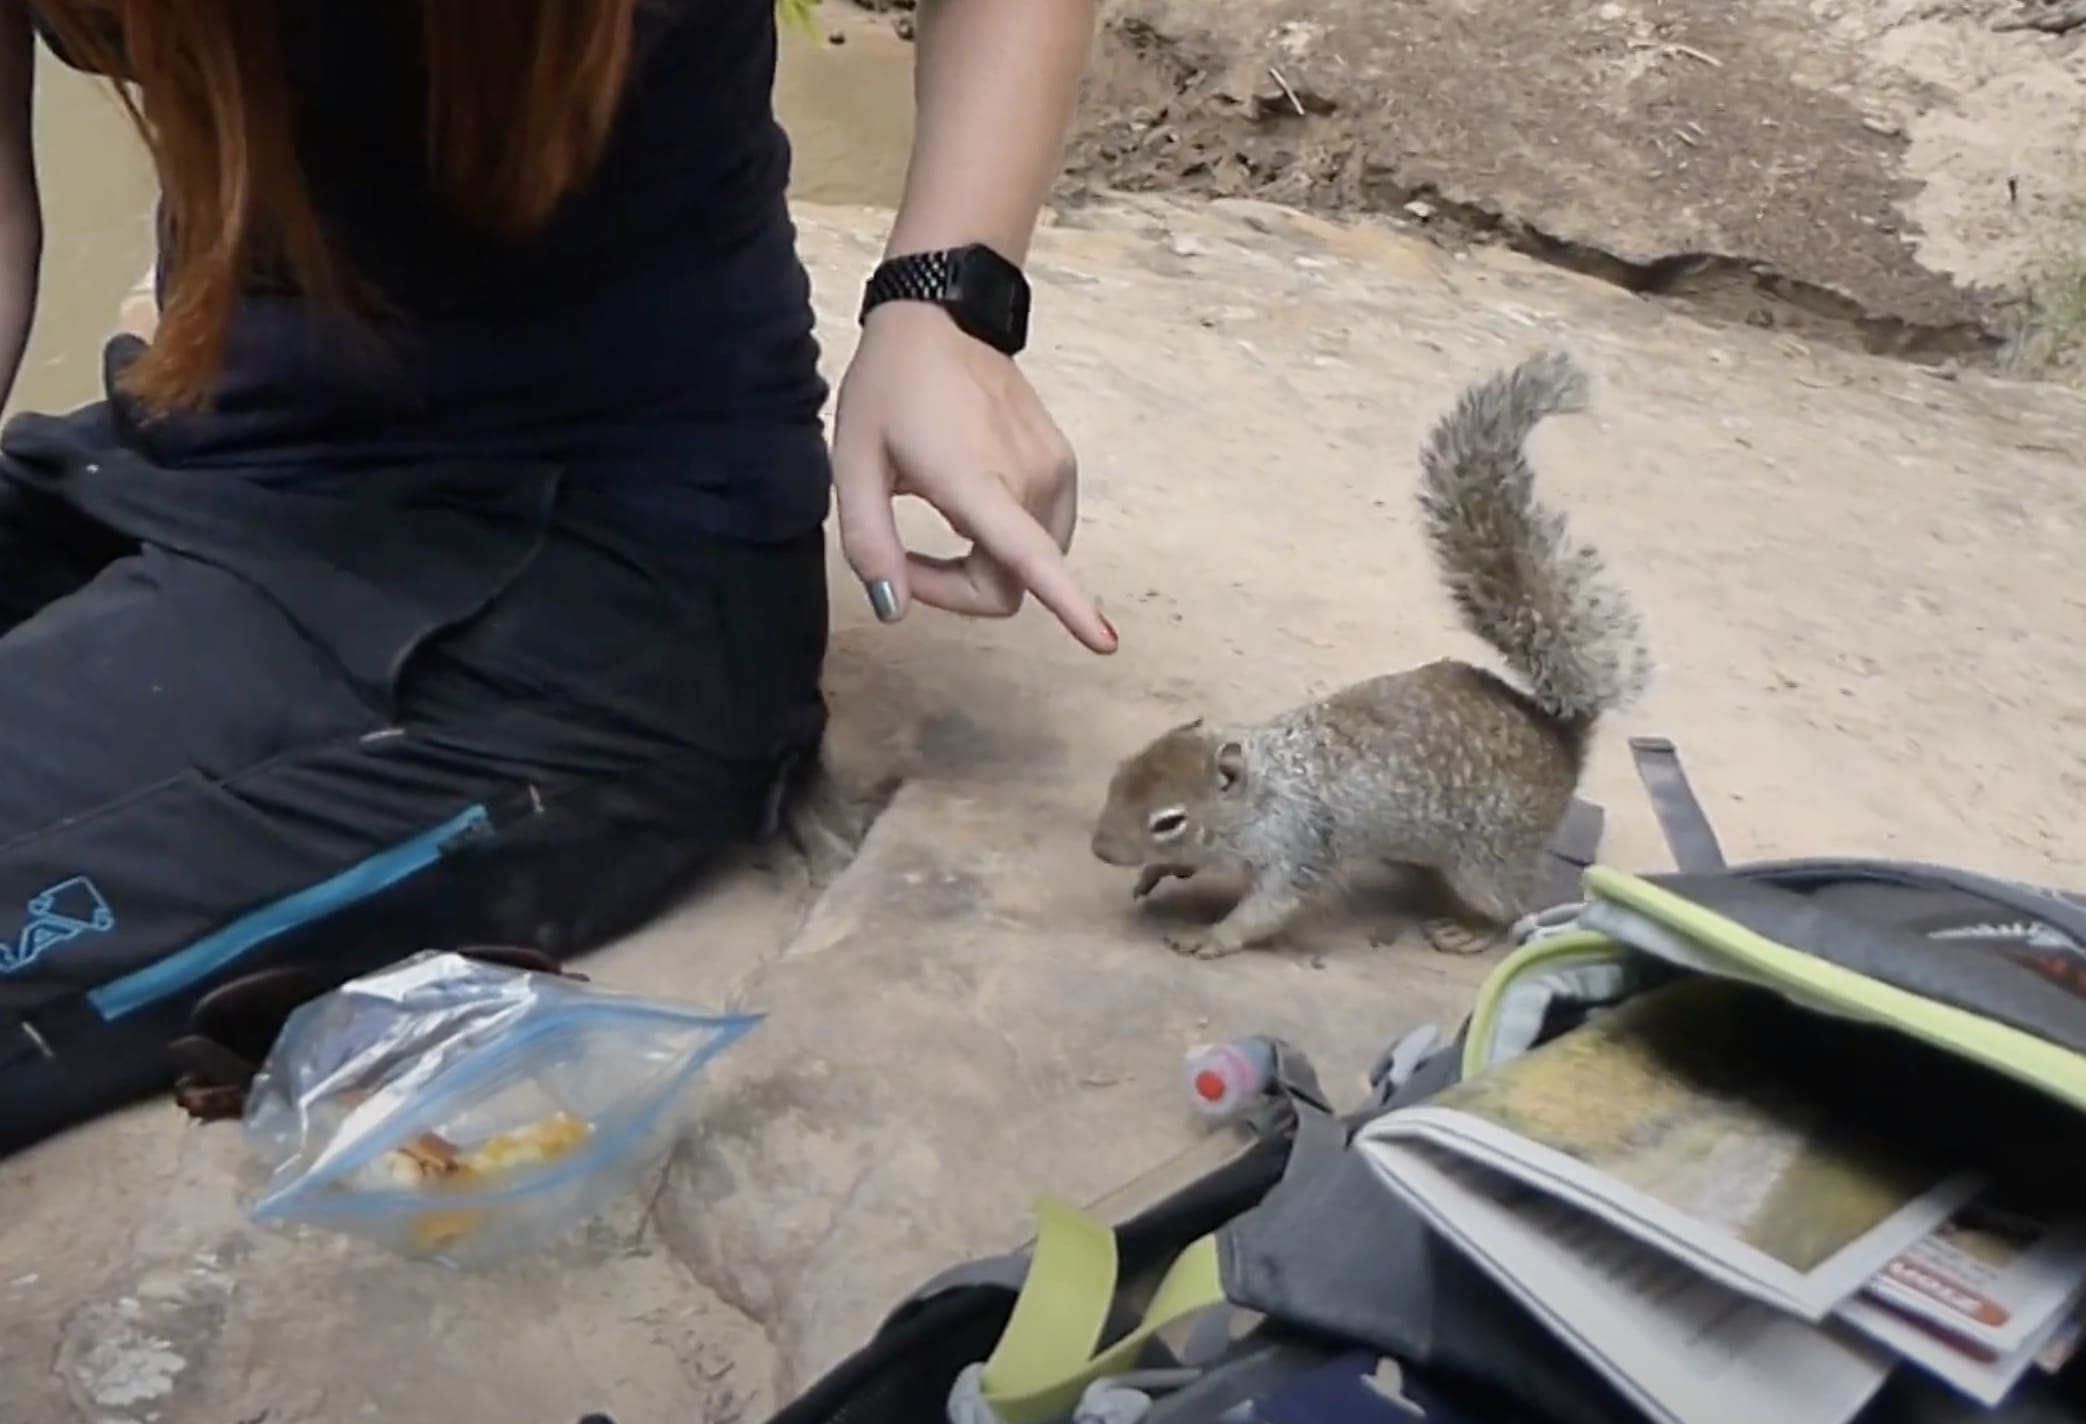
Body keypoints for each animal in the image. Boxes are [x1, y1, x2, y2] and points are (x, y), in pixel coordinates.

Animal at [1089, 348, 1651, 960]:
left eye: (1169, 820)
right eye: (1119, 774)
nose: (1100, 849)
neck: (1265, 790)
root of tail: (1560, 738)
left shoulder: (1301, 846)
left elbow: (1268, 909)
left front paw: (1209, 937)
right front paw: (1155, 875)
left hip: (1490, 858)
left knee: (1509, 908)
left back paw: (1467, 931)